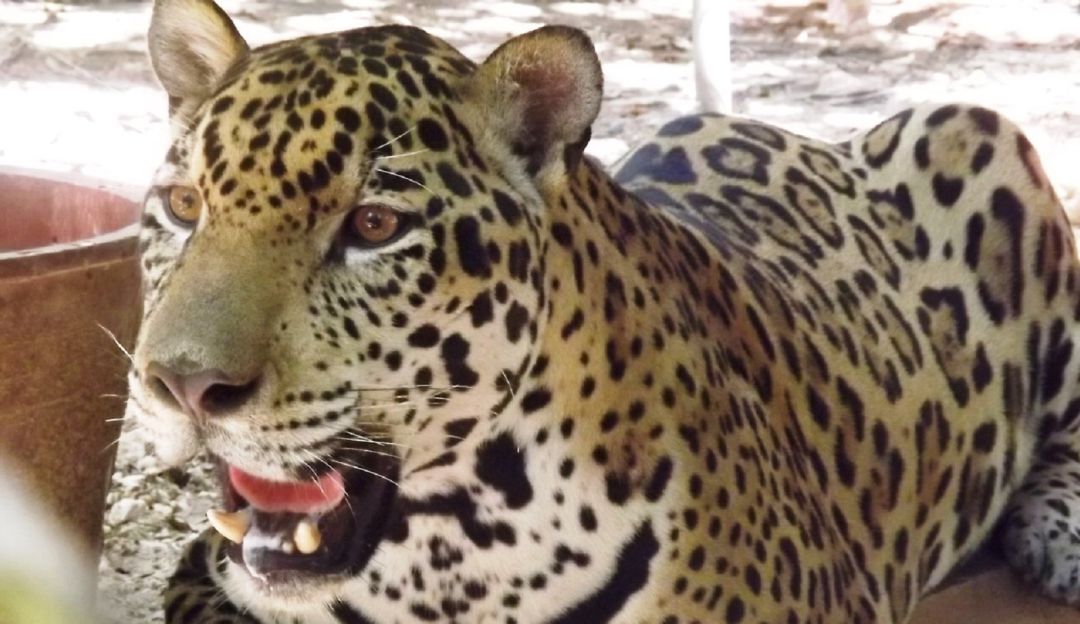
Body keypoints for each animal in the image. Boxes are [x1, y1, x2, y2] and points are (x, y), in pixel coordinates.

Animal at [126, 1, 1080, 622]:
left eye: (373, 226)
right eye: (183, 206)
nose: (183, 386)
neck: (442, 560)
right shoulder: (208, 571)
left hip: (980, 136)